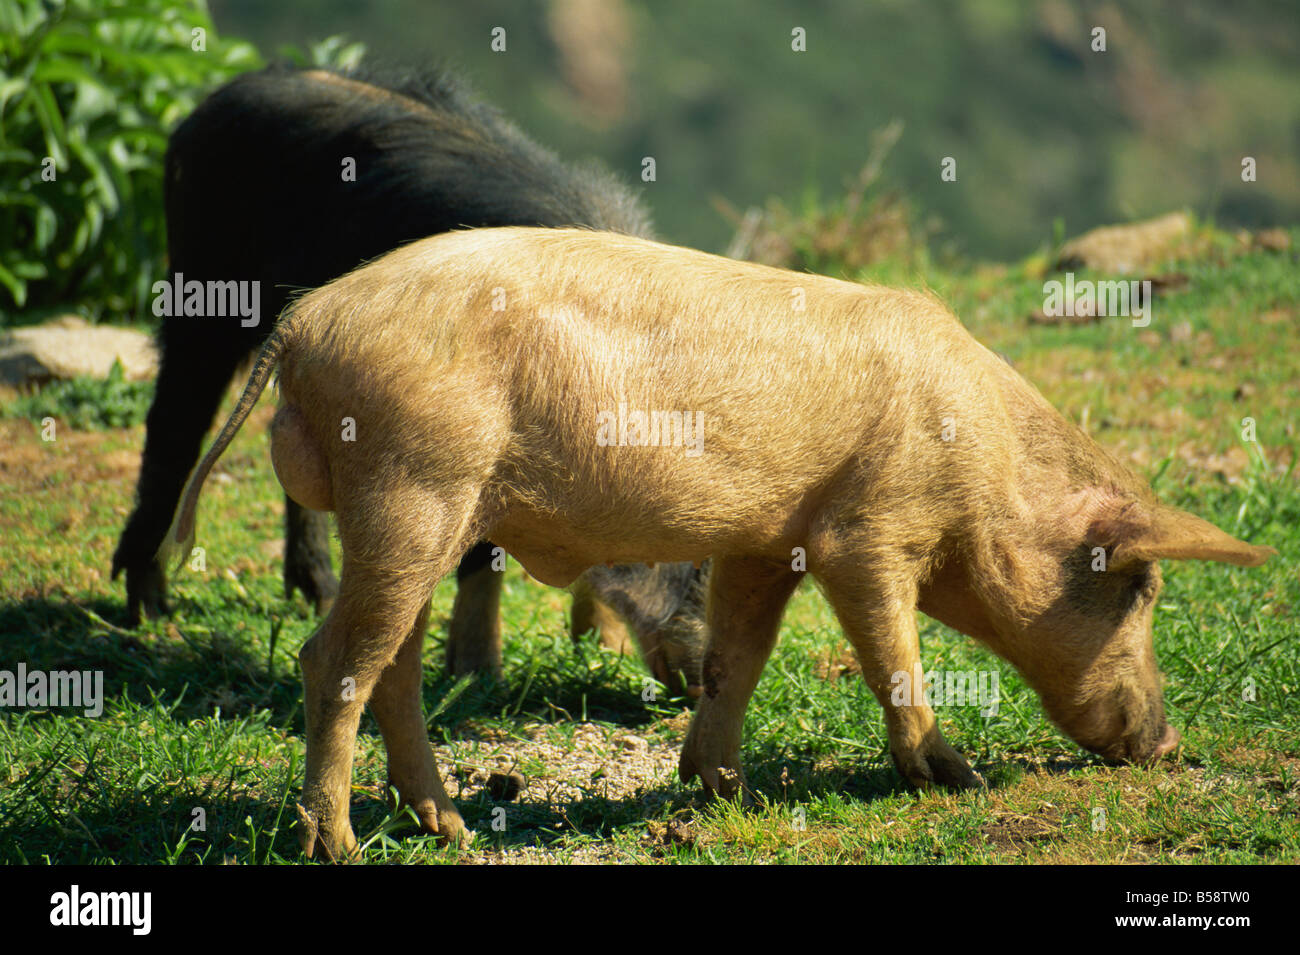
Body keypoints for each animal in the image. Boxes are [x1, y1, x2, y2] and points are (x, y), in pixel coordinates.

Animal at [109, 64, 704, 687]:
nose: (697, 680)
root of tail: (210, 105)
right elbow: (482, 555)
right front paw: (477, 674)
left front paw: (600, 650)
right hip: (201, 283)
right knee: (174, 422)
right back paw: (149, 610)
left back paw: (317, 596)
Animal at [162, 226, 1275, 859]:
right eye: (1139, 592)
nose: (1167, 744)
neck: (990, 476)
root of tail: (304, 322)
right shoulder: (864, 529)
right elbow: (893, 649)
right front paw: (951, 776)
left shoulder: (765, 541)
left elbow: (740, 658)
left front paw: (722, 788)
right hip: (412, 485)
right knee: (333, 659)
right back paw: (341, 846)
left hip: (424, 511)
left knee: (391, 661)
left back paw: (449, 827)